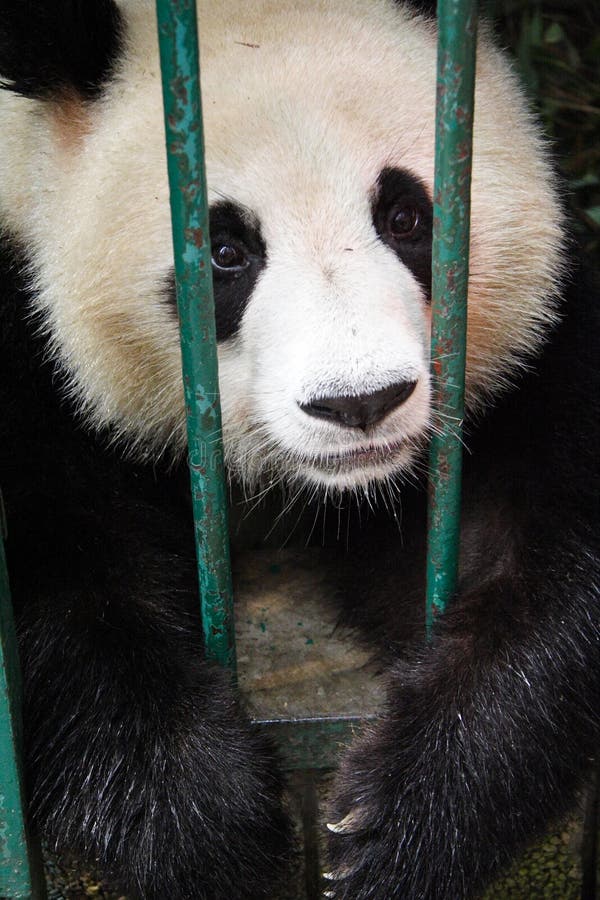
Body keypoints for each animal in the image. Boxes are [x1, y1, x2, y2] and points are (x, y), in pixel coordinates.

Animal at [0, 0, 598, 898]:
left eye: (406, 217)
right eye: (224, 252)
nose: (360, 403)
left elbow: (546, 545)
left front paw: (402, 815)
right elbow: (59, 582)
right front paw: (206, 827)